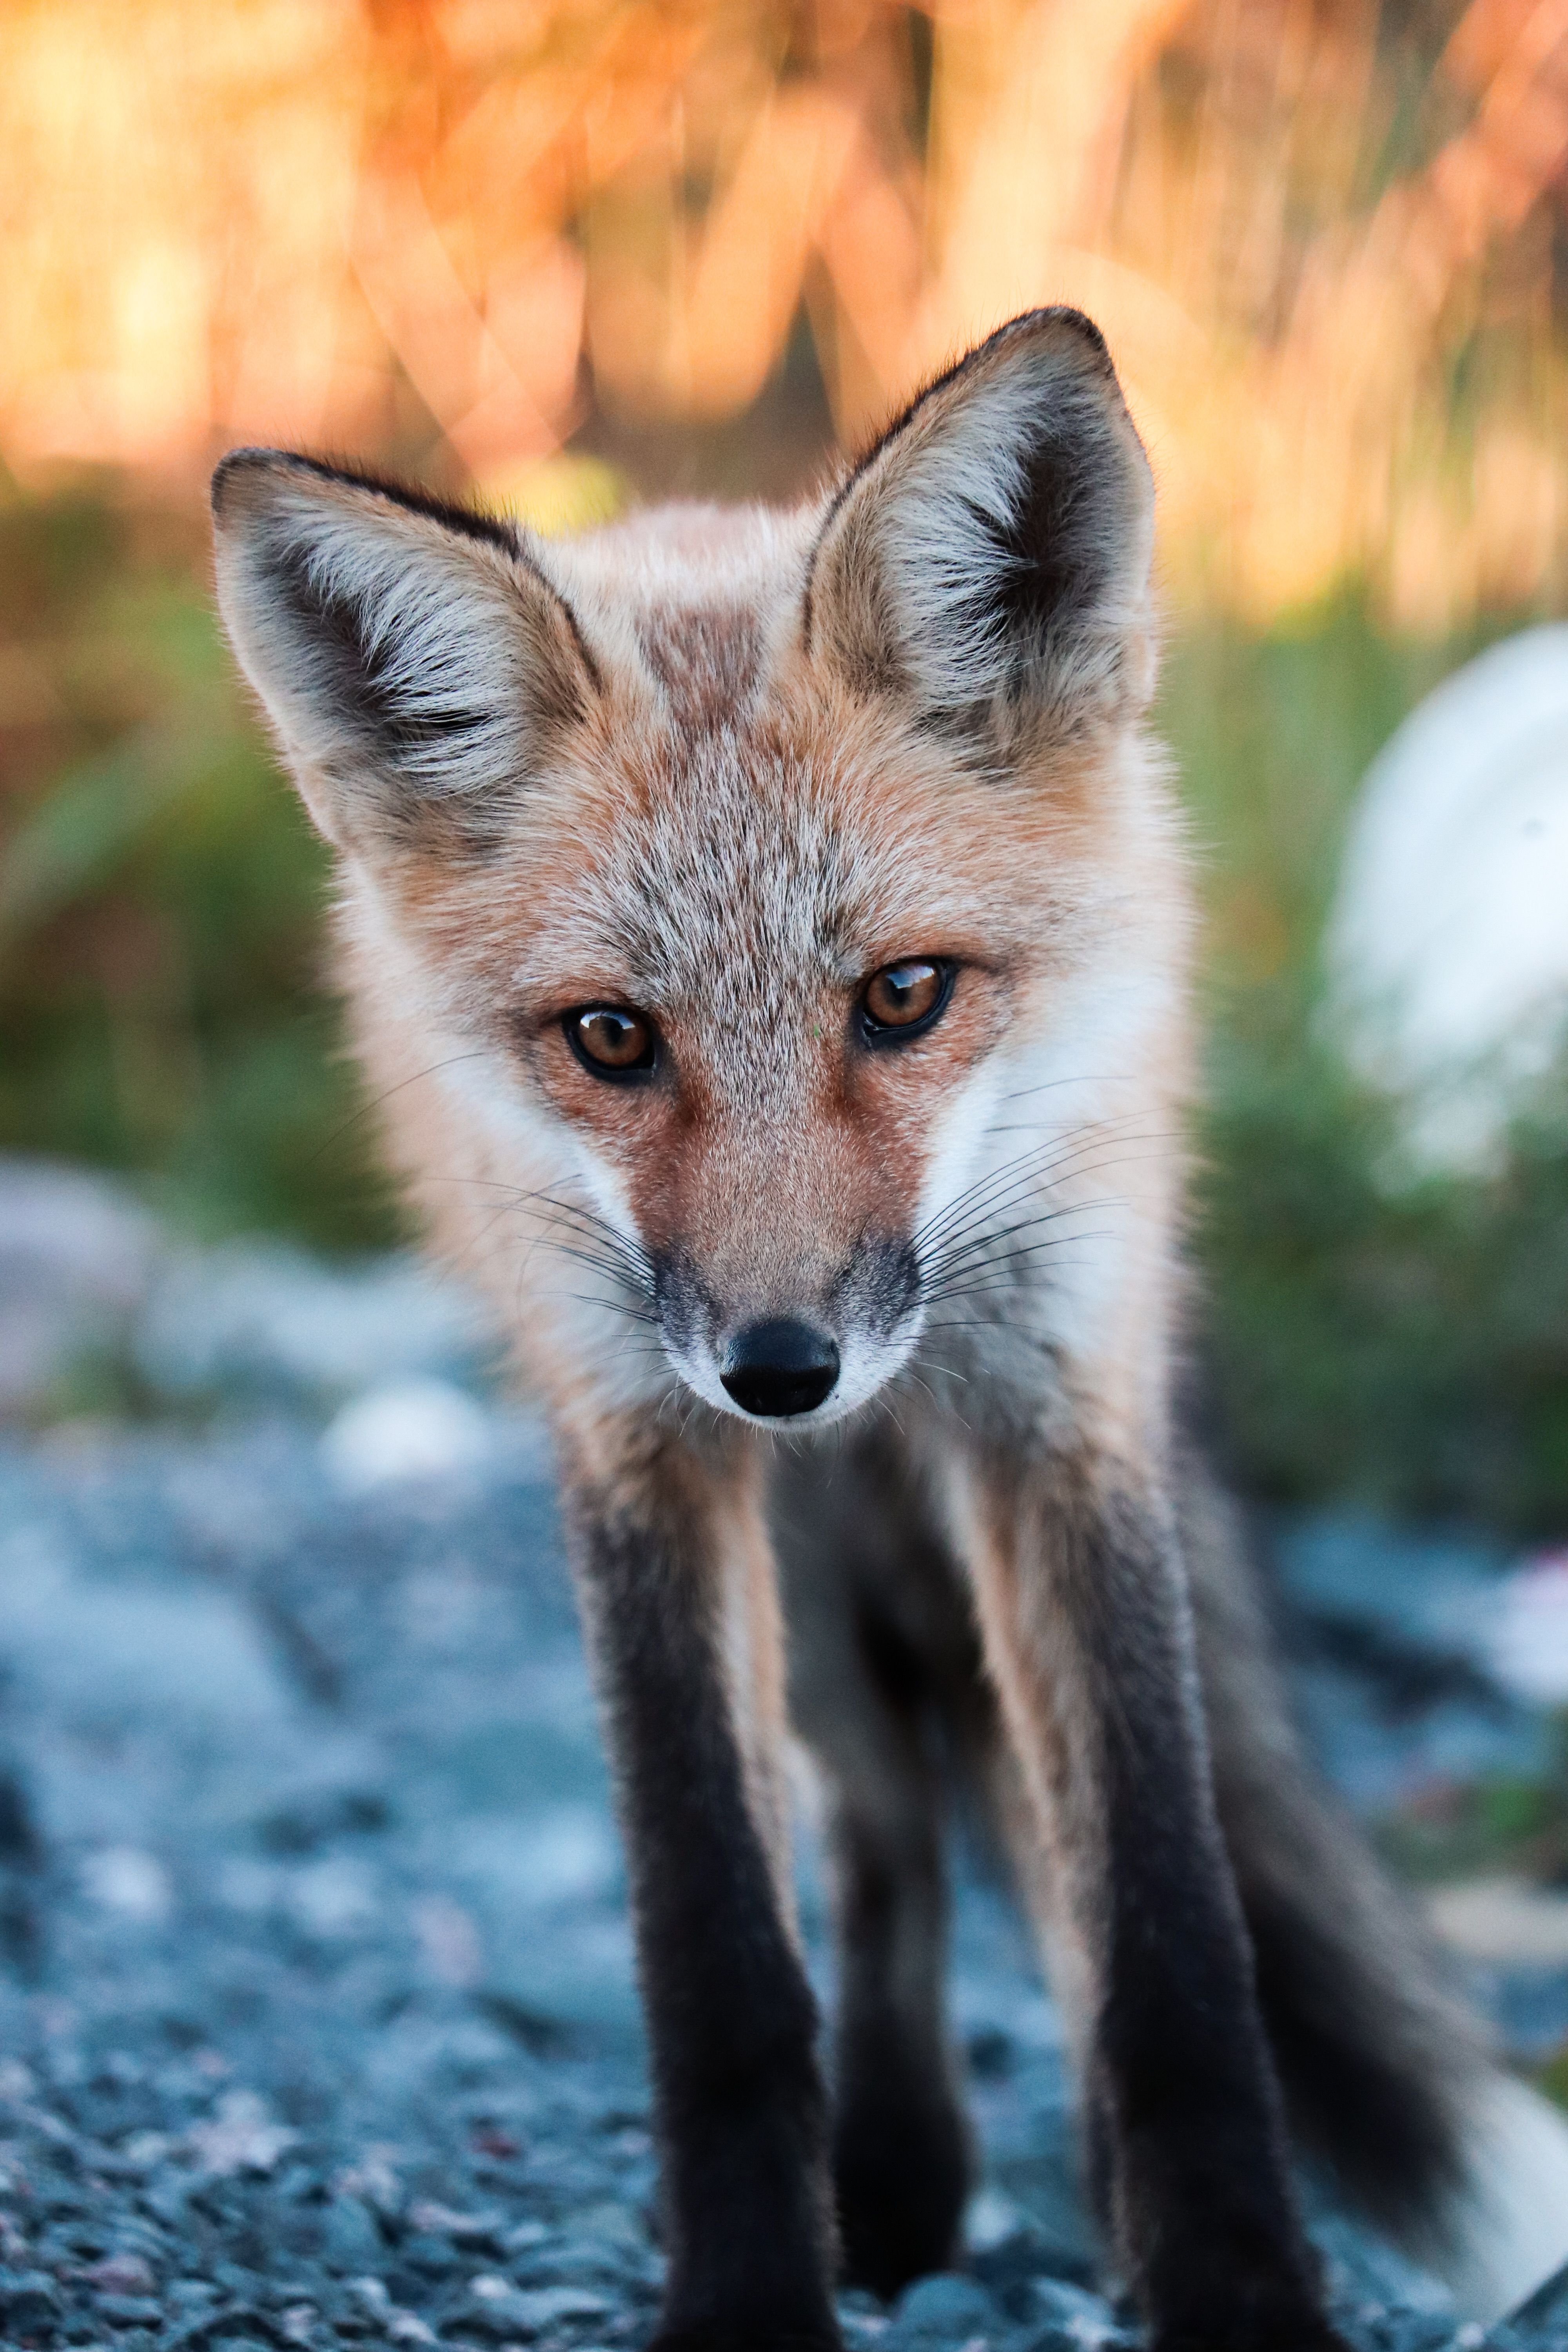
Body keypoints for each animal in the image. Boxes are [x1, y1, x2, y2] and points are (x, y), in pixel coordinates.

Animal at [211, 310, 1568, 2352]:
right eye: (610, 1038)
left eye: (904, 997)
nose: (781, 1366)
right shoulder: (645, 1454)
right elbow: (715, 1955)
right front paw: (749, 2296)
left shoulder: (1057, 1419)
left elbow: (1165, 1942)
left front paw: (1235, 2285)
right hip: (797, 1544)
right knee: (881, 1820)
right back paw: (903, 2176)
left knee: (1009, 1828)